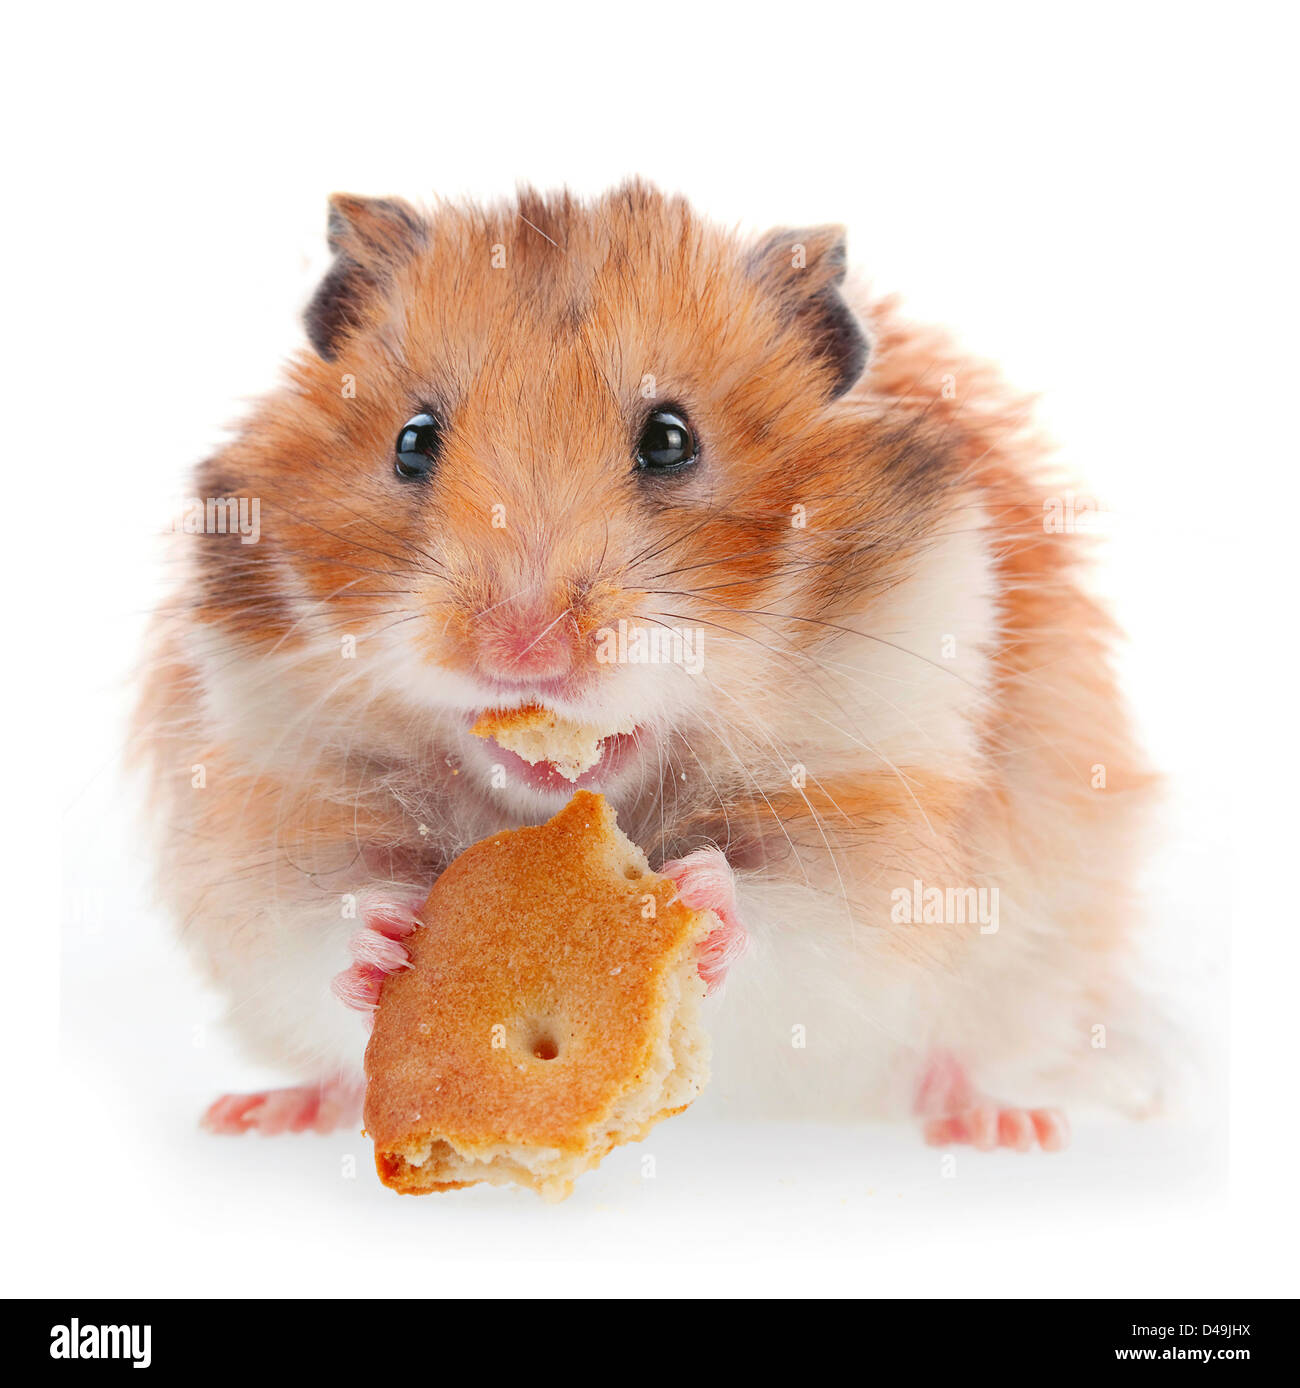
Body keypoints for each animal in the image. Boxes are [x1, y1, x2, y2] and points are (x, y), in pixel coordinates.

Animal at [134, 181, 1158, 1146]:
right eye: (412, 440)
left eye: (671, 439)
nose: (523, 648)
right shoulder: (273, 809)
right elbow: (314, 925)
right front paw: (388, 938)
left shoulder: (883, 822)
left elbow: (803, 925)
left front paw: (698, 899)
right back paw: (262, 1113)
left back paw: (1002, 1125)